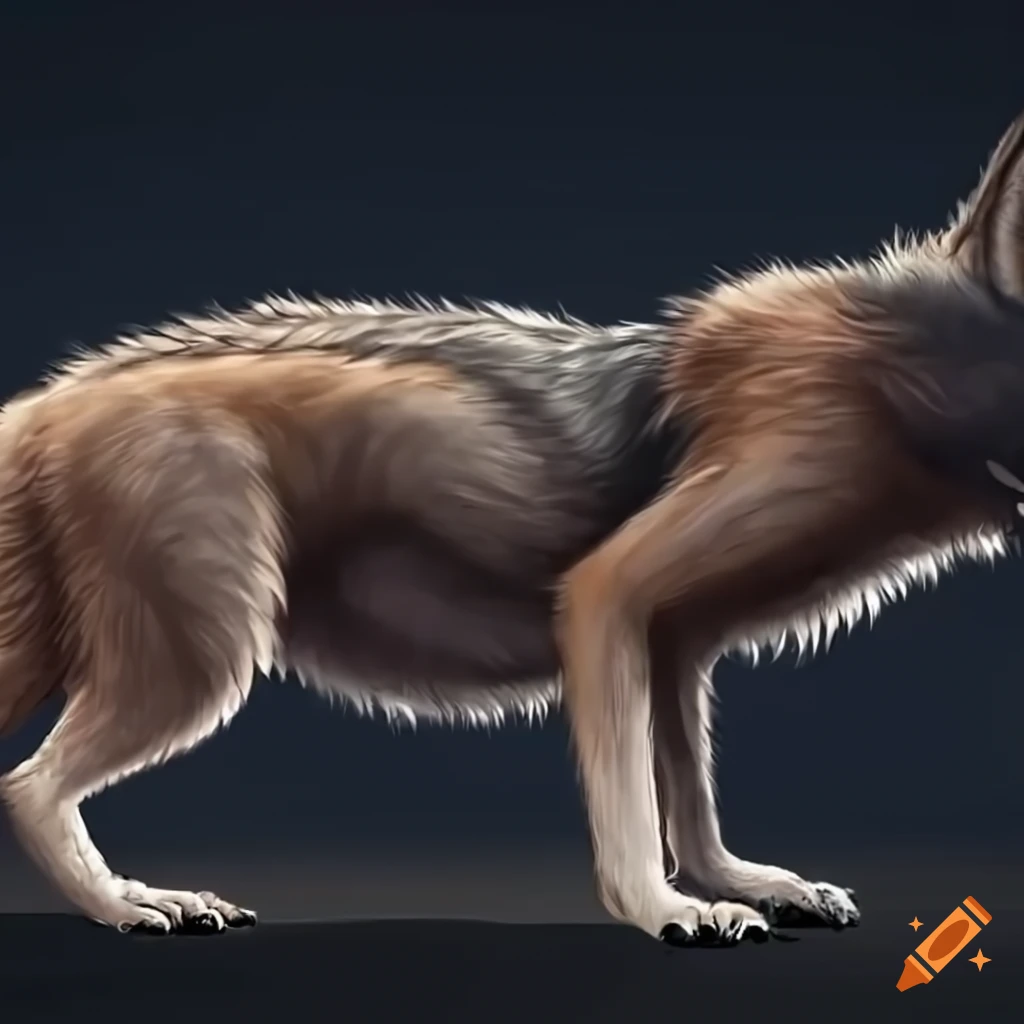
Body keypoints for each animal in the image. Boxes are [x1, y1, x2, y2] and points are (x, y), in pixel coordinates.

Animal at [1, 112, 1022, 946]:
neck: (893, 371)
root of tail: (45, 402)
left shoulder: (673, 643)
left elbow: (689, 805)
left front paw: (737, 883)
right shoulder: (611, 594)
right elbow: (630, 808)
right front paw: (663, 912)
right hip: (203, 660)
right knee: (28, 787)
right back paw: (126, 903)